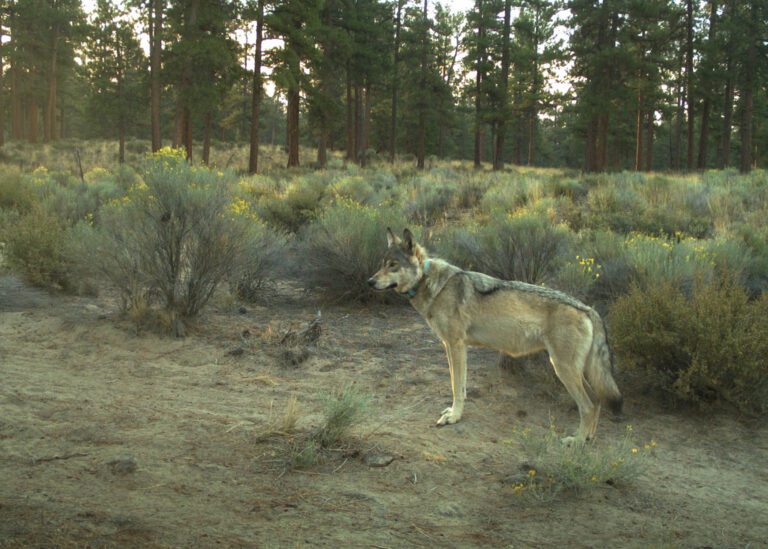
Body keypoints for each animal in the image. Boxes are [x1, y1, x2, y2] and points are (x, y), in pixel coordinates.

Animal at [368, 228, 623, 444]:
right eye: (381, 264)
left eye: (393, 265)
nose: (369, 281)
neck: (431, 284)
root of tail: (588, 309)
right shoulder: (450, 345)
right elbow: (458, 385)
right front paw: (453, 413)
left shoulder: (456, 345)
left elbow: (456, 386)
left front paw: (454, 417)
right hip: (573, 371)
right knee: (597, 402)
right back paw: (587, 439)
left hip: (562, 369)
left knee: (588, 406)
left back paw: (576, 442)